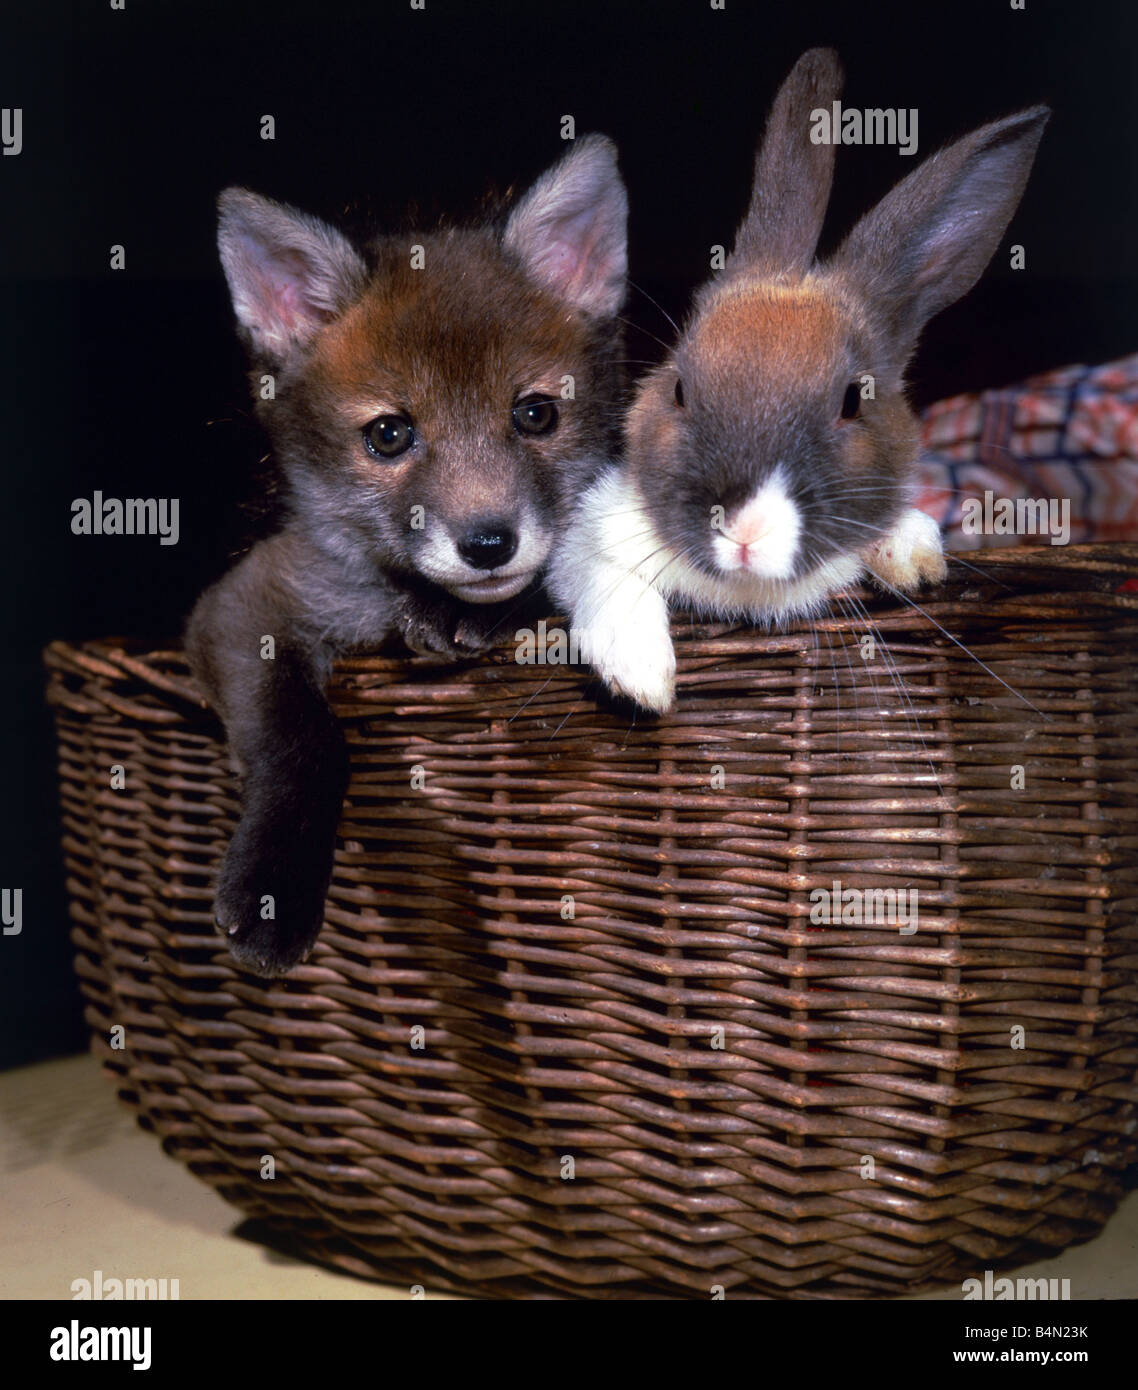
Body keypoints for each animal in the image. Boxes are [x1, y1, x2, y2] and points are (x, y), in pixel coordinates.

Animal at [186, 136, 628, 977]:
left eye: (535, 414)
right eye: (389, 435)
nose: (488, 544)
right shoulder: (245, 603)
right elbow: (305, 740)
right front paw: (273, 887)